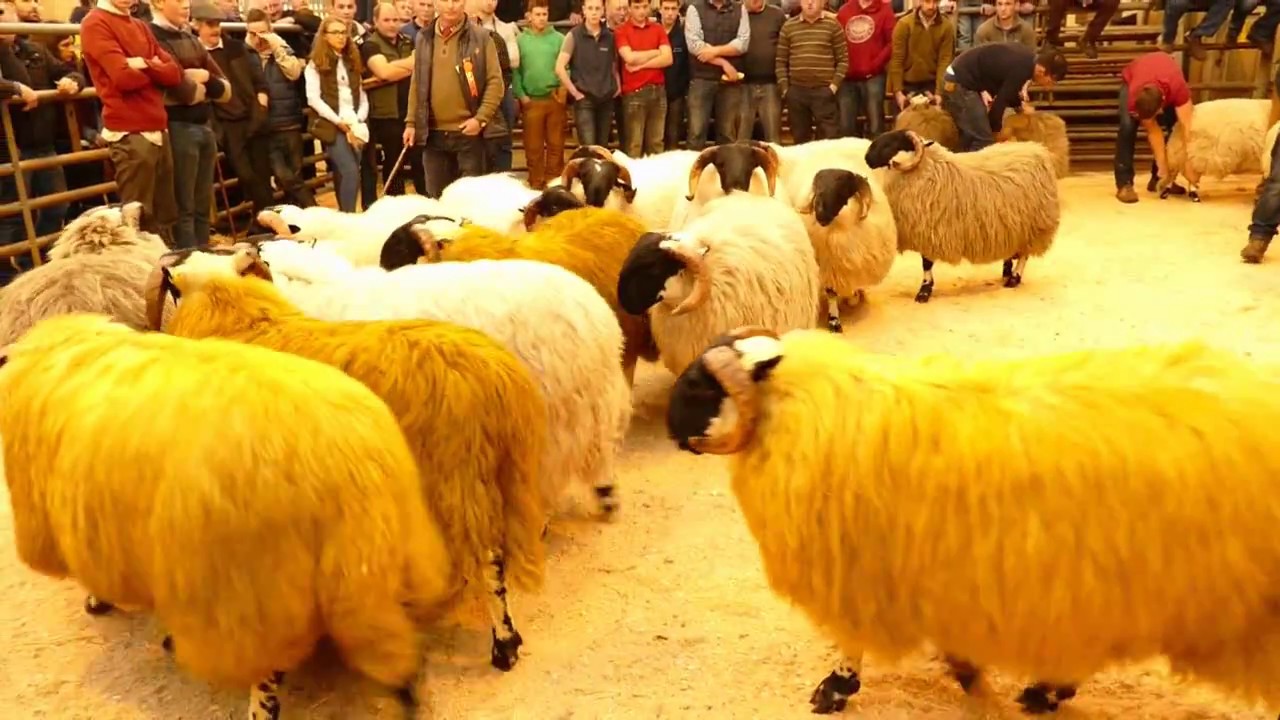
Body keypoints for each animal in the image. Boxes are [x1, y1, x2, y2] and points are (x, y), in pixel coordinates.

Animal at [0, 312, 454, 719]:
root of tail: (353, 464)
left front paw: (98, 601)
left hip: (255, 590)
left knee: (267, 673)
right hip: (382, 562)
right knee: (397, 644)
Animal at [146, 248, 549, 671]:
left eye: (174, 289)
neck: (233, 310)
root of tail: (498, 375)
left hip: (457, 480)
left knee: (489, 562)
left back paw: (503, 646)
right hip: (504, 474)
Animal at [666, 325, 1280, 717]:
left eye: (699, 384)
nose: (672, 432)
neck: (800, 407)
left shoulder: (863, 575)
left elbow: (851, 644)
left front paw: (835, 690)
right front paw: (966, 673)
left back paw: (1045, 691)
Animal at [787, 157, 898, 333]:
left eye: (842, 191)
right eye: (817, 190)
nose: (820, 215)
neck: (835, 234)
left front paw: (853, 298)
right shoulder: (829, 269)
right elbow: (832, 293)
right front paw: (834, 322)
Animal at [865, 129, 1059, 303]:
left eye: (890, 144)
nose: (867, 158)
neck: (928, 169)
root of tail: (1037, 148)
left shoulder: (930, 231)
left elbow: (926, 264)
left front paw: (924, 291)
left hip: (1034, 224)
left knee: (1025, 254)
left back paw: (1014, 278)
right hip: (1012, 224)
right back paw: (1006, 272)